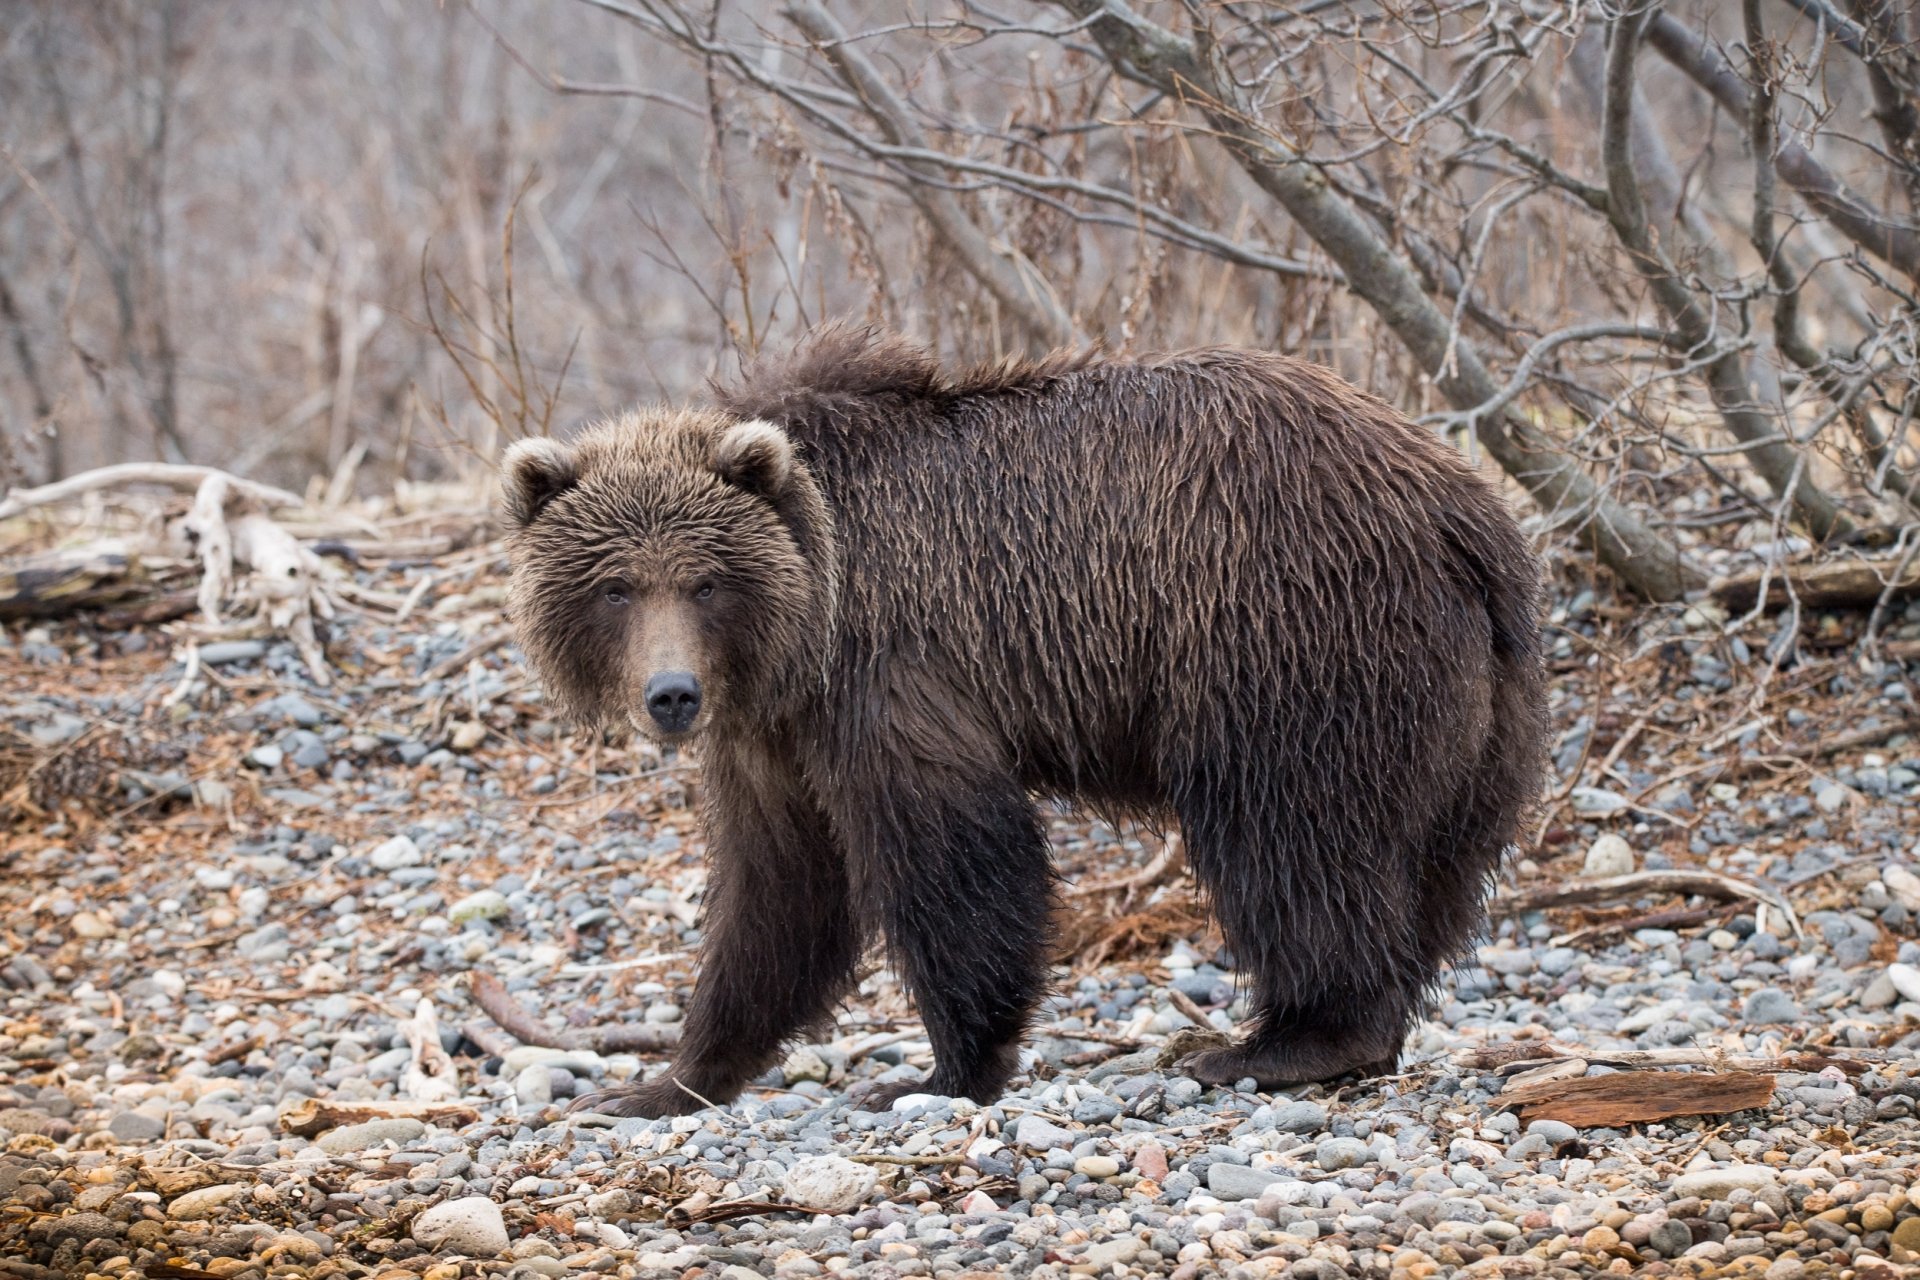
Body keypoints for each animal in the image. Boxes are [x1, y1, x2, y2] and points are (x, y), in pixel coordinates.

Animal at [500, 326, 1546, 1118]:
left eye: (706, 581)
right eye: (615, 586)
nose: (672, 693)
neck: (801, 631)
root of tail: (1460, 509)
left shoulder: (888, 671)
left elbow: (953, 851)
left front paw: (942, 1071)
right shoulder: (772, 735)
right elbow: (778, 891)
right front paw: (659, 1082)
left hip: (1285, 633)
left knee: (1290, 829)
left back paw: (1282, 1043)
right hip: (1478, 699)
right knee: (1437, 860)